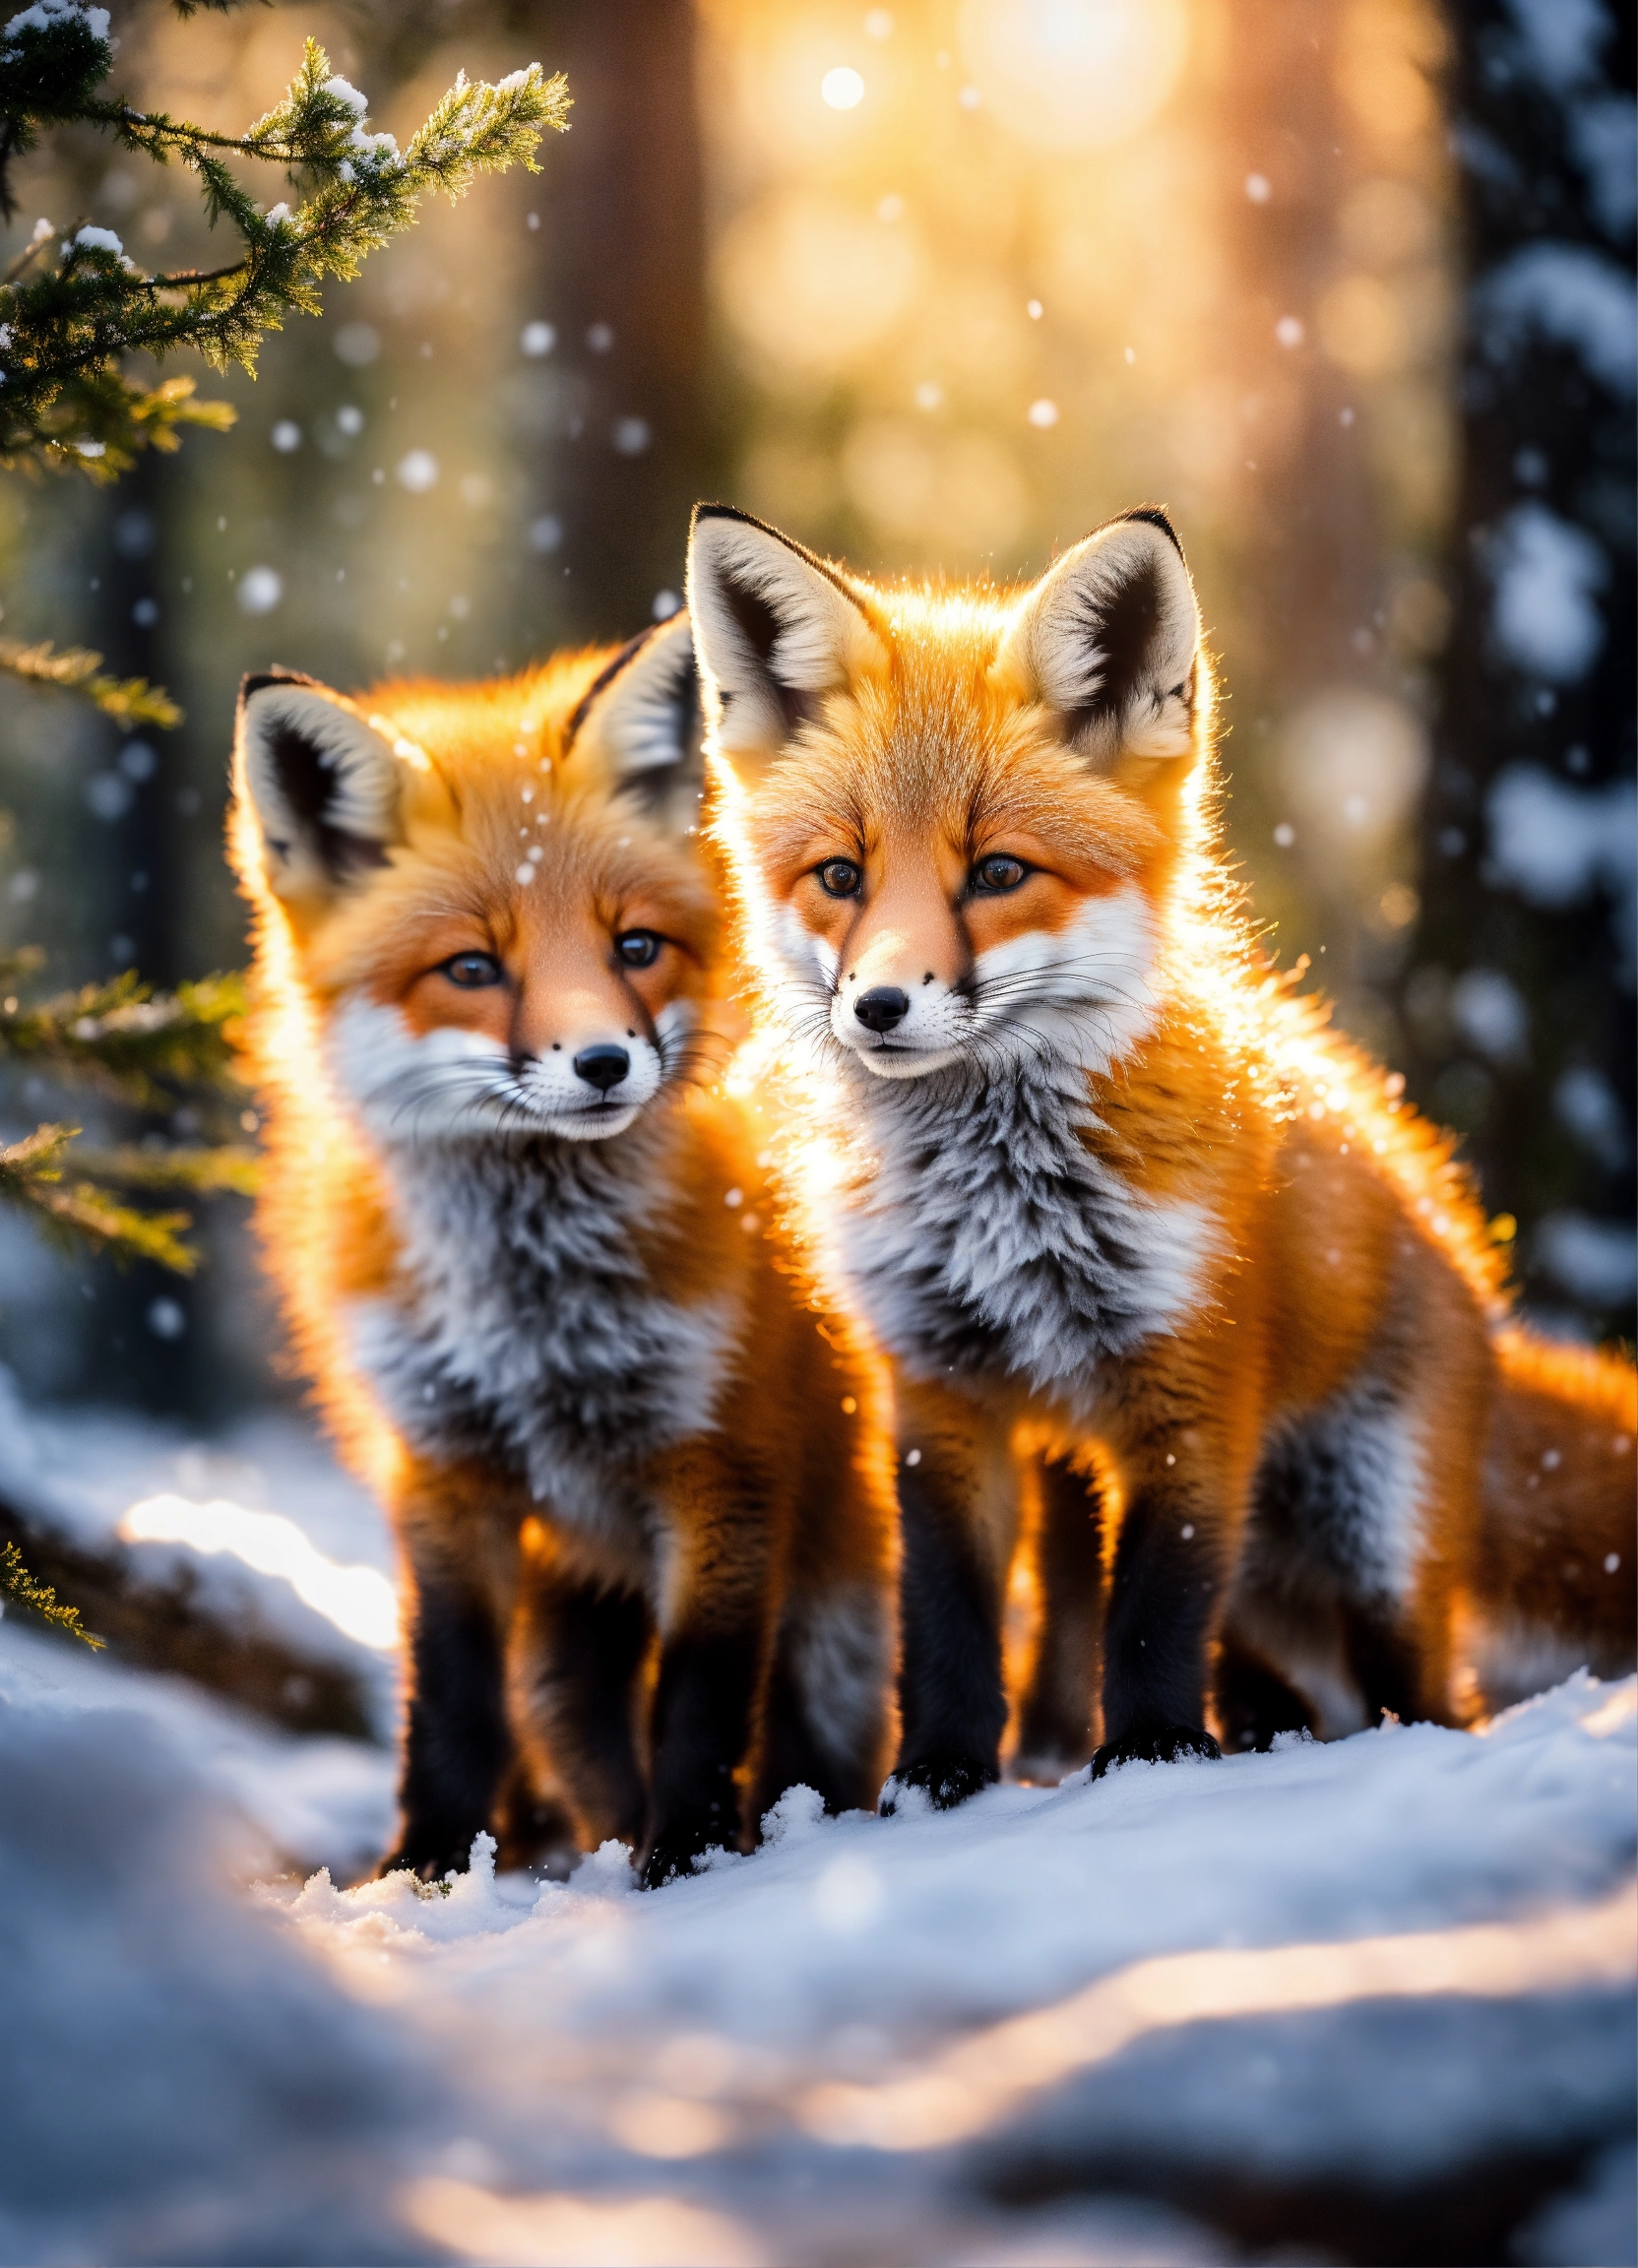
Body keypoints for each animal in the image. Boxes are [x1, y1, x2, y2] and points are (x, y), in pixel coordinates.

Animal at [227, 615, 897, 1886]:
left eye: (633, 946)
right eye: (471, 969)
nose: (601, 1063)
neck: (532, 1309)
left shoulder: (721, 1472)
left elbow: (700, 1703)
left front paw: (687, 1866)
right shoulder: (443, 1475)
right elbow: (446, 1700)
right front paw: (426, 1871)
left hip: (830, 1620)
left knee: (810, 1741)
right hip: (562, 1653)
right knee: (580, 1747)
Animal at [683, 500, 1636, 1799]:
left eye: (997, 872)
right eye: (840, 875)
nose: (876, 1008)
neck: (1004, 1202)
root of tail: (1471, 1269)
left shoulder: (1191, 1384)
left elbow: (1152, 1606)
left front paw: (1144, 1758)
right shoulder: (937, 1392)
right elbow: (946, 1610)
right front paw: (938, 1775)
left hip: (1379, 1544)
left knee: (1436, 1696)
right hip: (1250, 1575)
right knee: (1281, 1679)